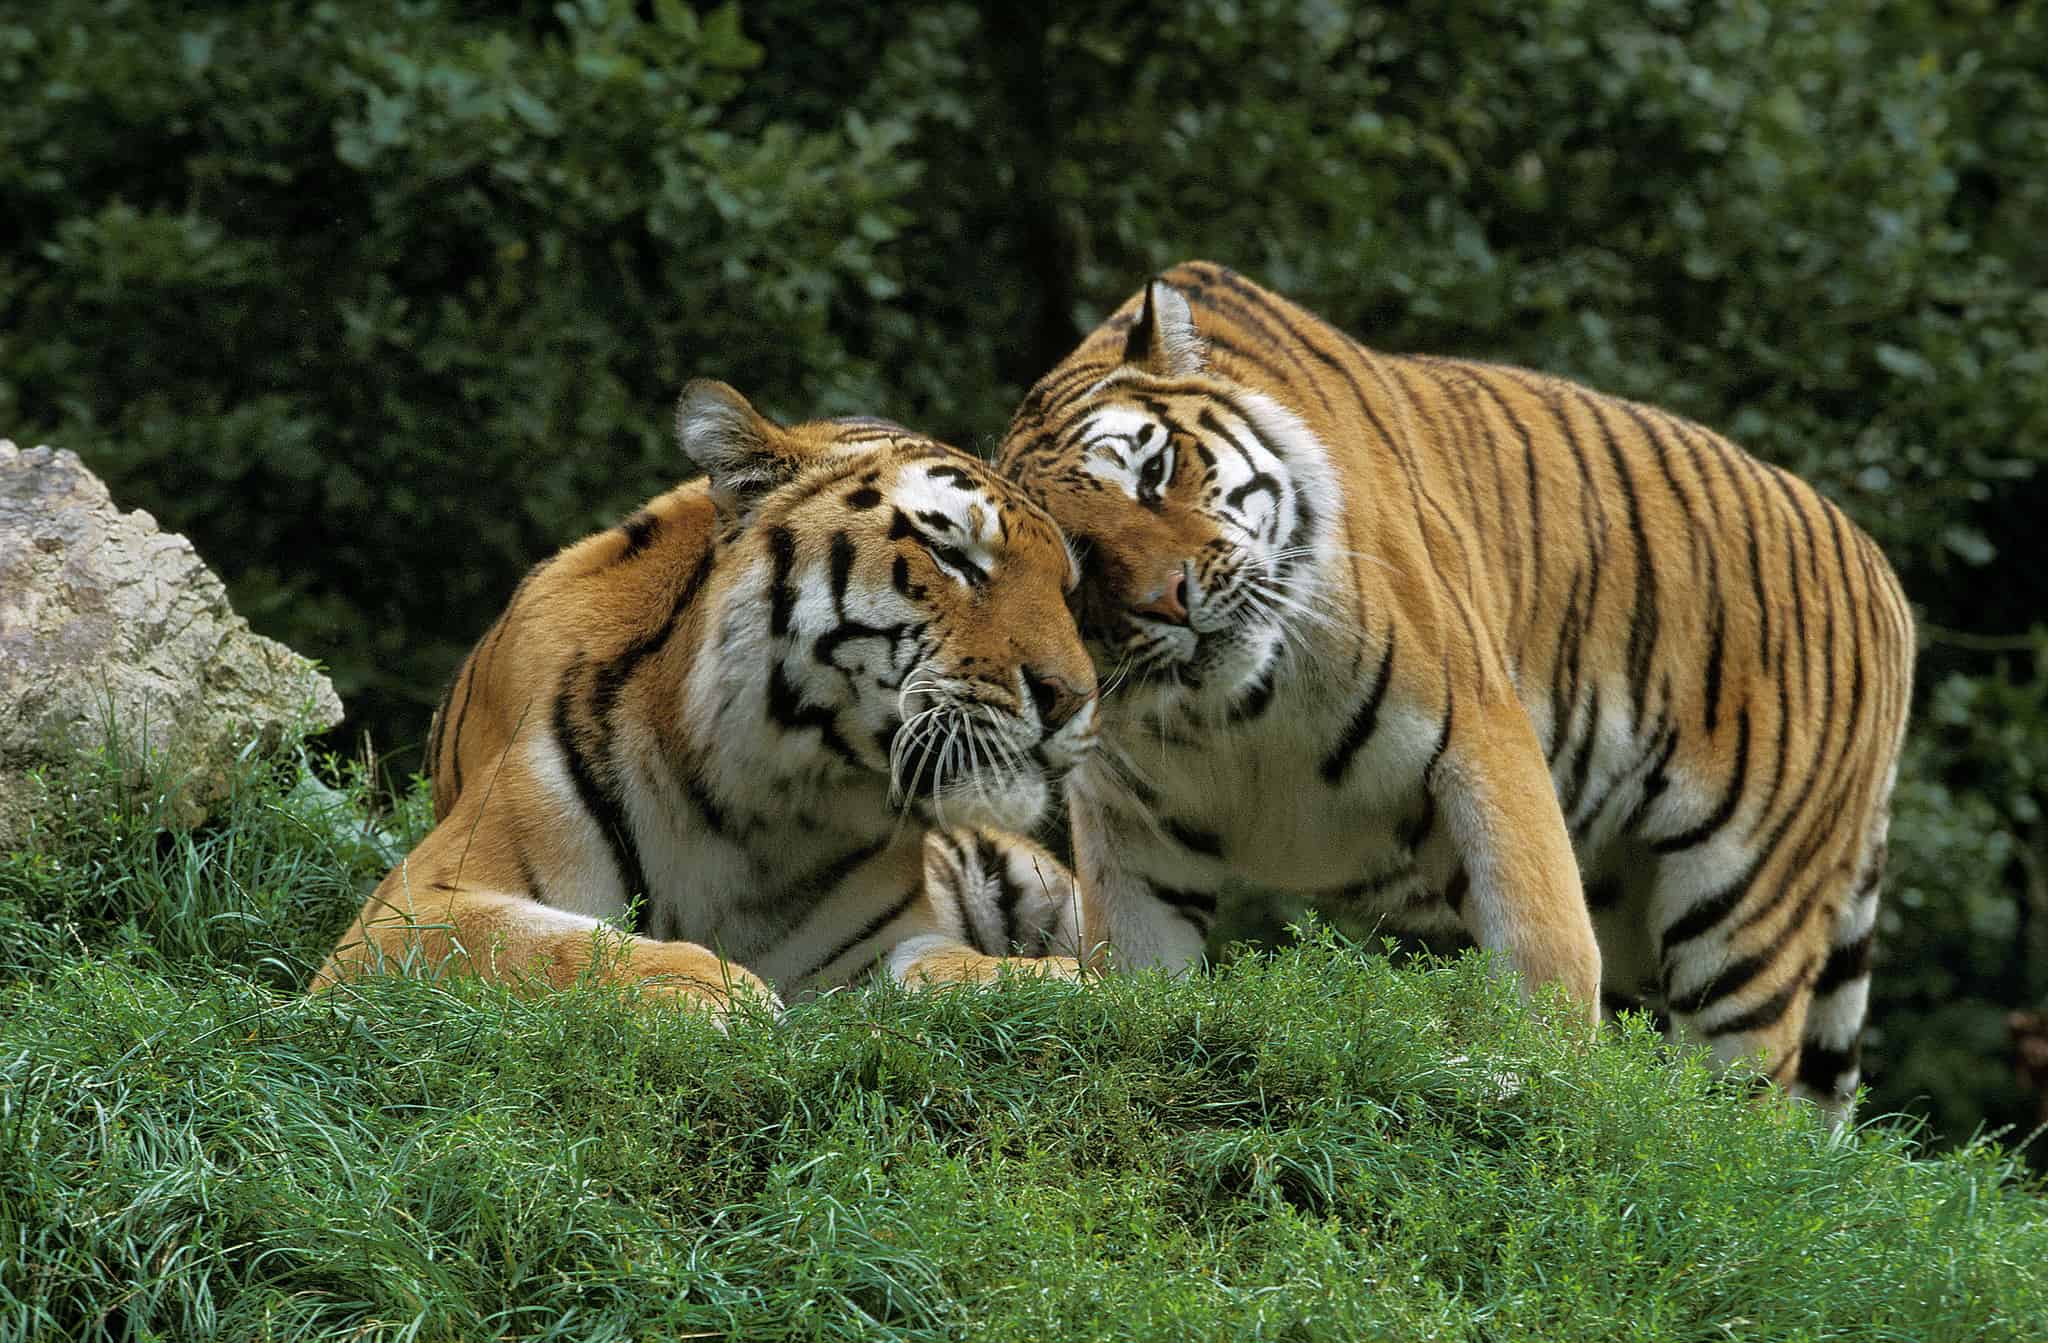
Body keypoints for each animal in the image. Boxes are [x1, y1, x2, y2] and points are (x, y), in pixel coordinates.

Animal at [313, 380, 1099, 1016]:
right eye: (954, 558)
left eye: (1067, 587)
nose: (1074, 697)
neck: (759, 812)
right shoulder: (411, 908)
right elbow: (549, 944)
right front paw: (712, 989)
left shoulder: (887, 941)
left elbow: (952, 963)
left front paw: (1072, 982)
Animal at [996, 260, 1914, 1117]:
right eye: (1077, 569)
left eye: (1154, 472)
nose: (1170, 600)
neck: (1239, 713)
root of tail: (1879, 568)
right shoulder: (1131, 825)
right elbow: (1138, 974)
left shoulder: (1480, 733)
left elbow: (1543, 942)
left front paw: (1536, 1078)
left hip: (1743, 911)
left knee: (1753, 1116)